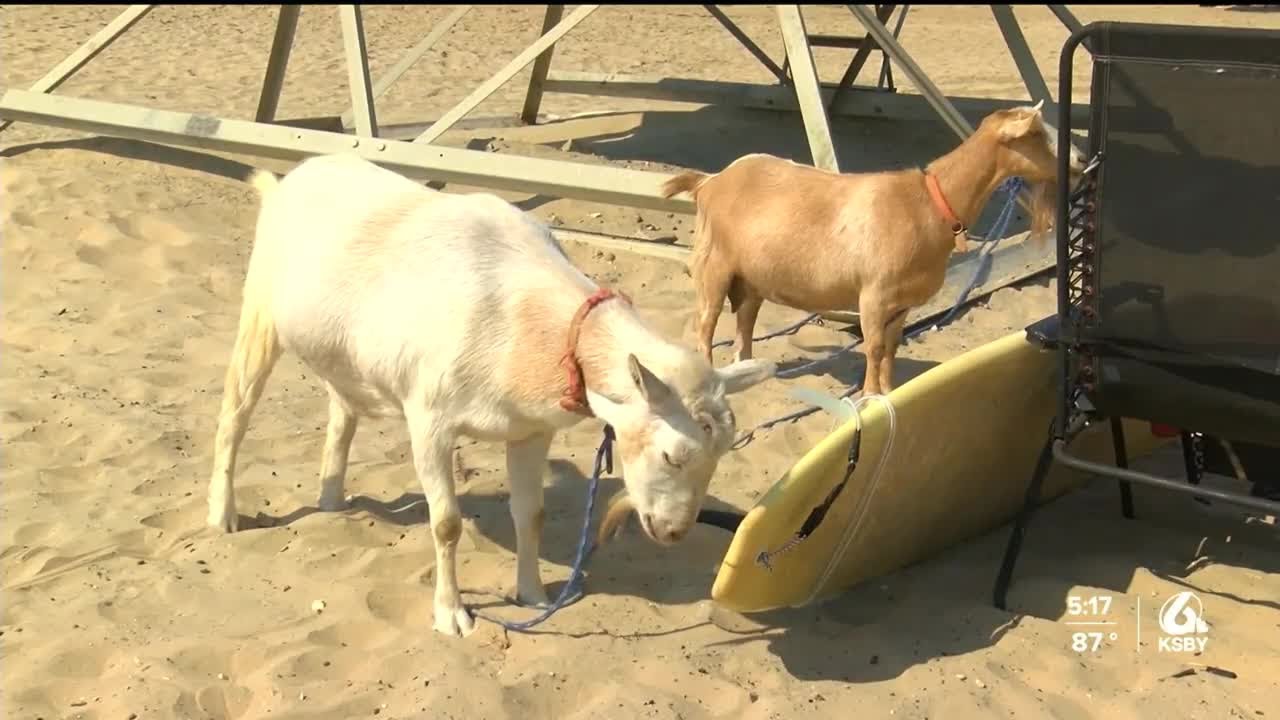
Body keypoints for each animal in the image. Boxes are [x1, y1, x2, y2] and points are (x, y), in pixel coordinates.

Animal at [206, 154, 776, 637]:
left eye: (720, 457)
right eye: (672, 455)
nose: (675, 532)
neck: (527, 319)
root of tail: (289, 179)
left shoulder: (530, 431)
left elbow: (532, 514)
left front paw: (532, 593)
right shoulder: (429, 418)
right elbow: (446, 524)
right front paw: (451, 614)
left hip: (344, 357)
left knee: (342, 411)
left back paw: (331, 499)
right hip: (259, 311)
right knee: (234, 413)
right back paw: (223, 514)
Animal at [661, 102, 1085, 396]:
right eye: (1036, 135)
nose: (1082, 159)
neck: (928, 204)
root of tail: (711, 180)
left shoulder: (902, 302)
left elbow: (892, 348)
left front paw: (889, 392)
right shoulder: (874, 295)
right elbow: (875, 347)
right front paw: (867, 396)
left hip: (751, 277)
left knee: (745, 321)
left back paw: (748, 370)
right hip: (714, 265)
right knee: (705, 324)